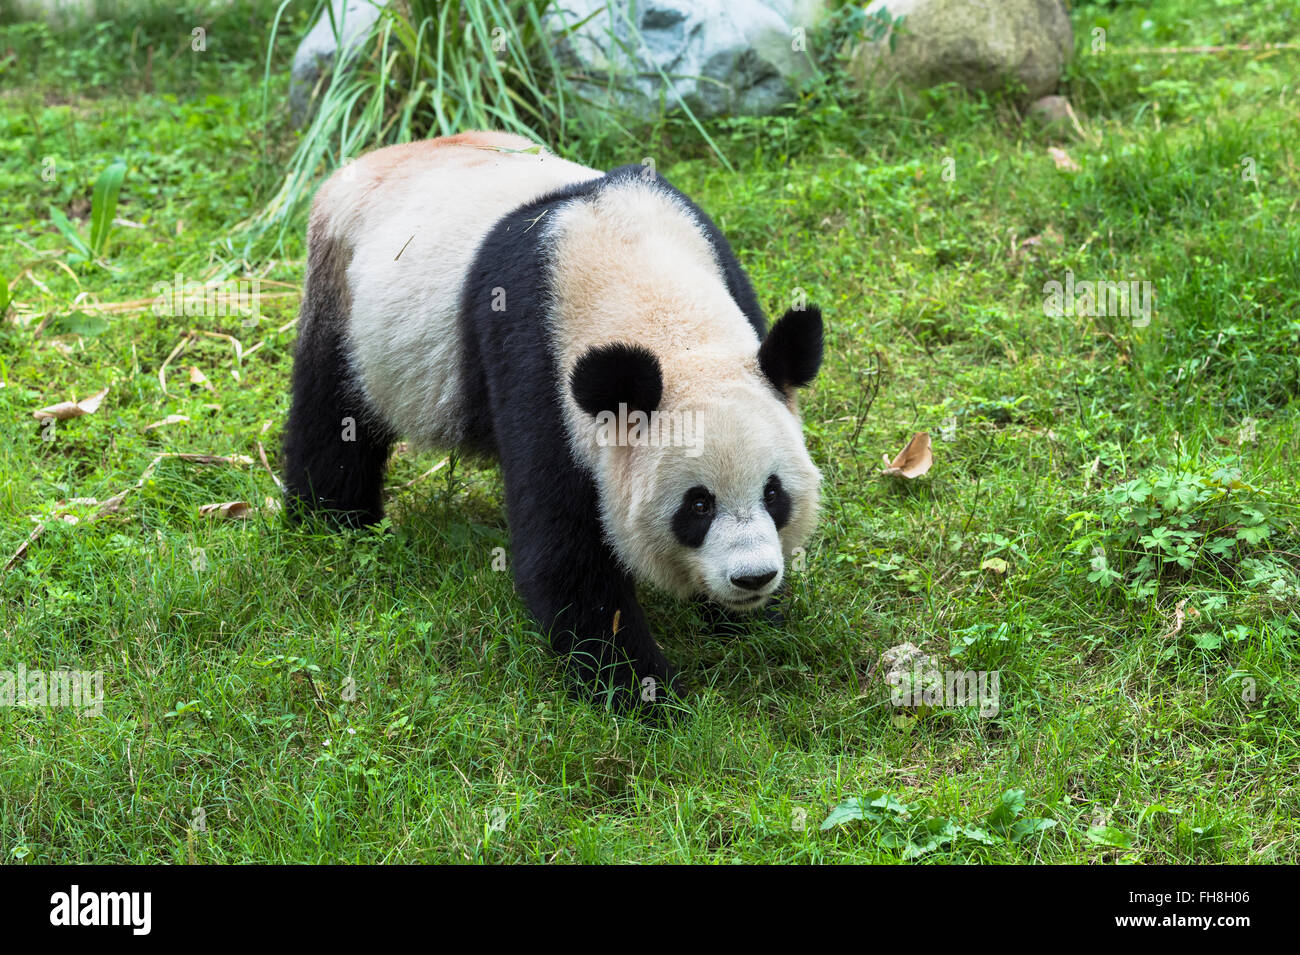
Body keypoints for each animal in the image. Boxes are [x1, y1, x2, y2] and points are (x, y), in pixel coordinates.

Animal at [283, 130, 824, 711]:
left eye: (773, 492)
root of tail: (370, 160)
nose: (753, 577)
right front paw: (644, 693)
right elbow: (565, 555)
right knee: (334, 414)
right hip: (345, 295)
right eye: (697, 504)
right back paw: (333, 521)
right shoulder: (536, 361)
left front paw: (751, 623)